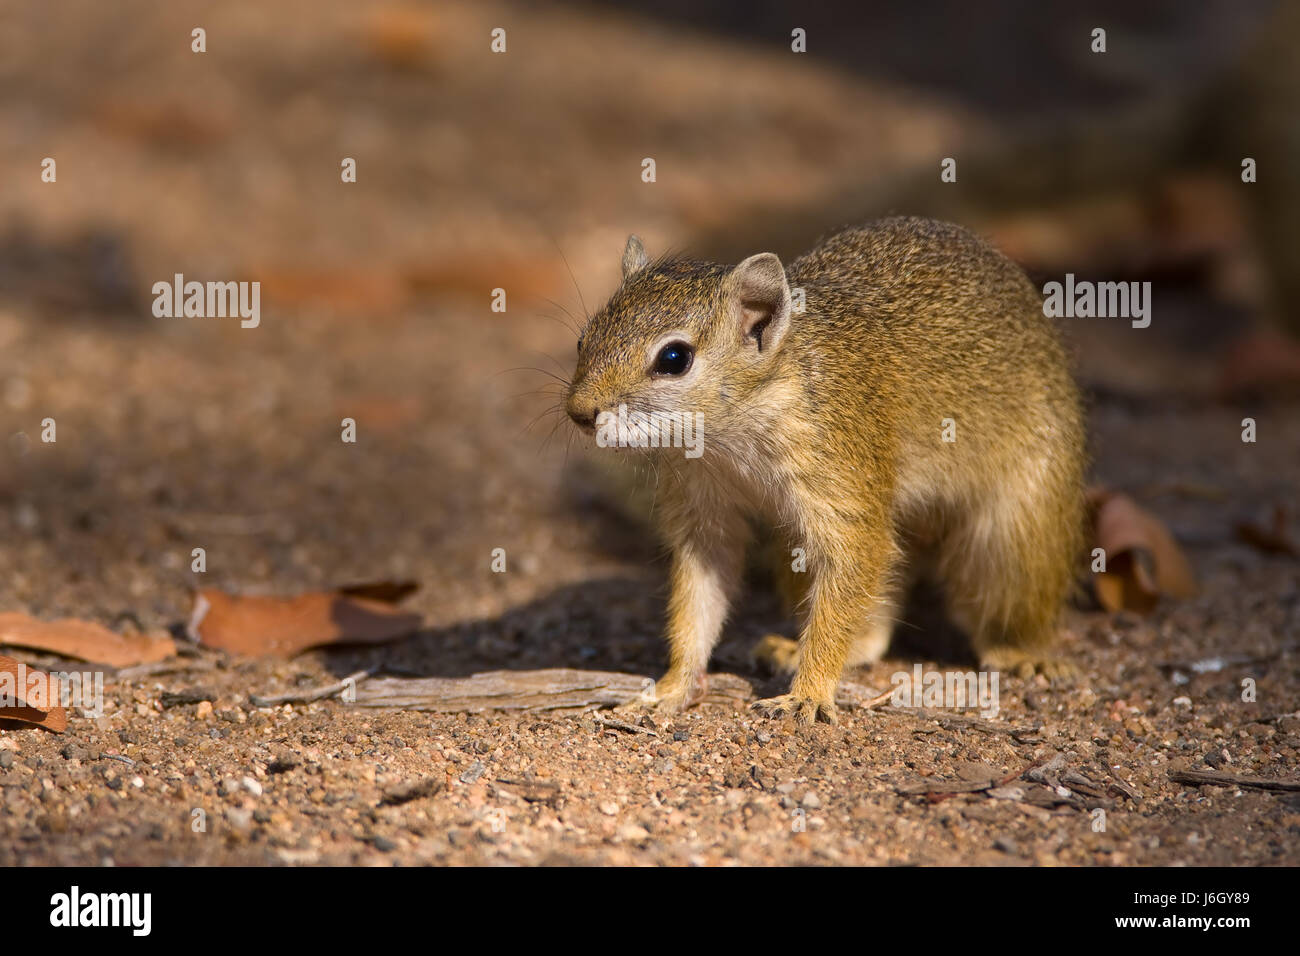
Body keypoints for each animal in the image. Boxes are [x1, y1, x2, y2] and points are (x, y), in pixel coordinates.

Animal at [565, 217, 1085, 724]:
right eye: (583, 339)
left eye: (674, 358)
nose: (580, 413)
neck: (733, 432)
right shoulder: (703, 509)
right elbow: (698, 602)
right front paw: (670, 688)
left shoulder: (844, 486)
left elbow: (846, 573)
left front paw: (809, 695)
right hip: (795, 548)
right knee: (874, 624)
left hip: (1014, 536)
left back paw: (1023, 654)